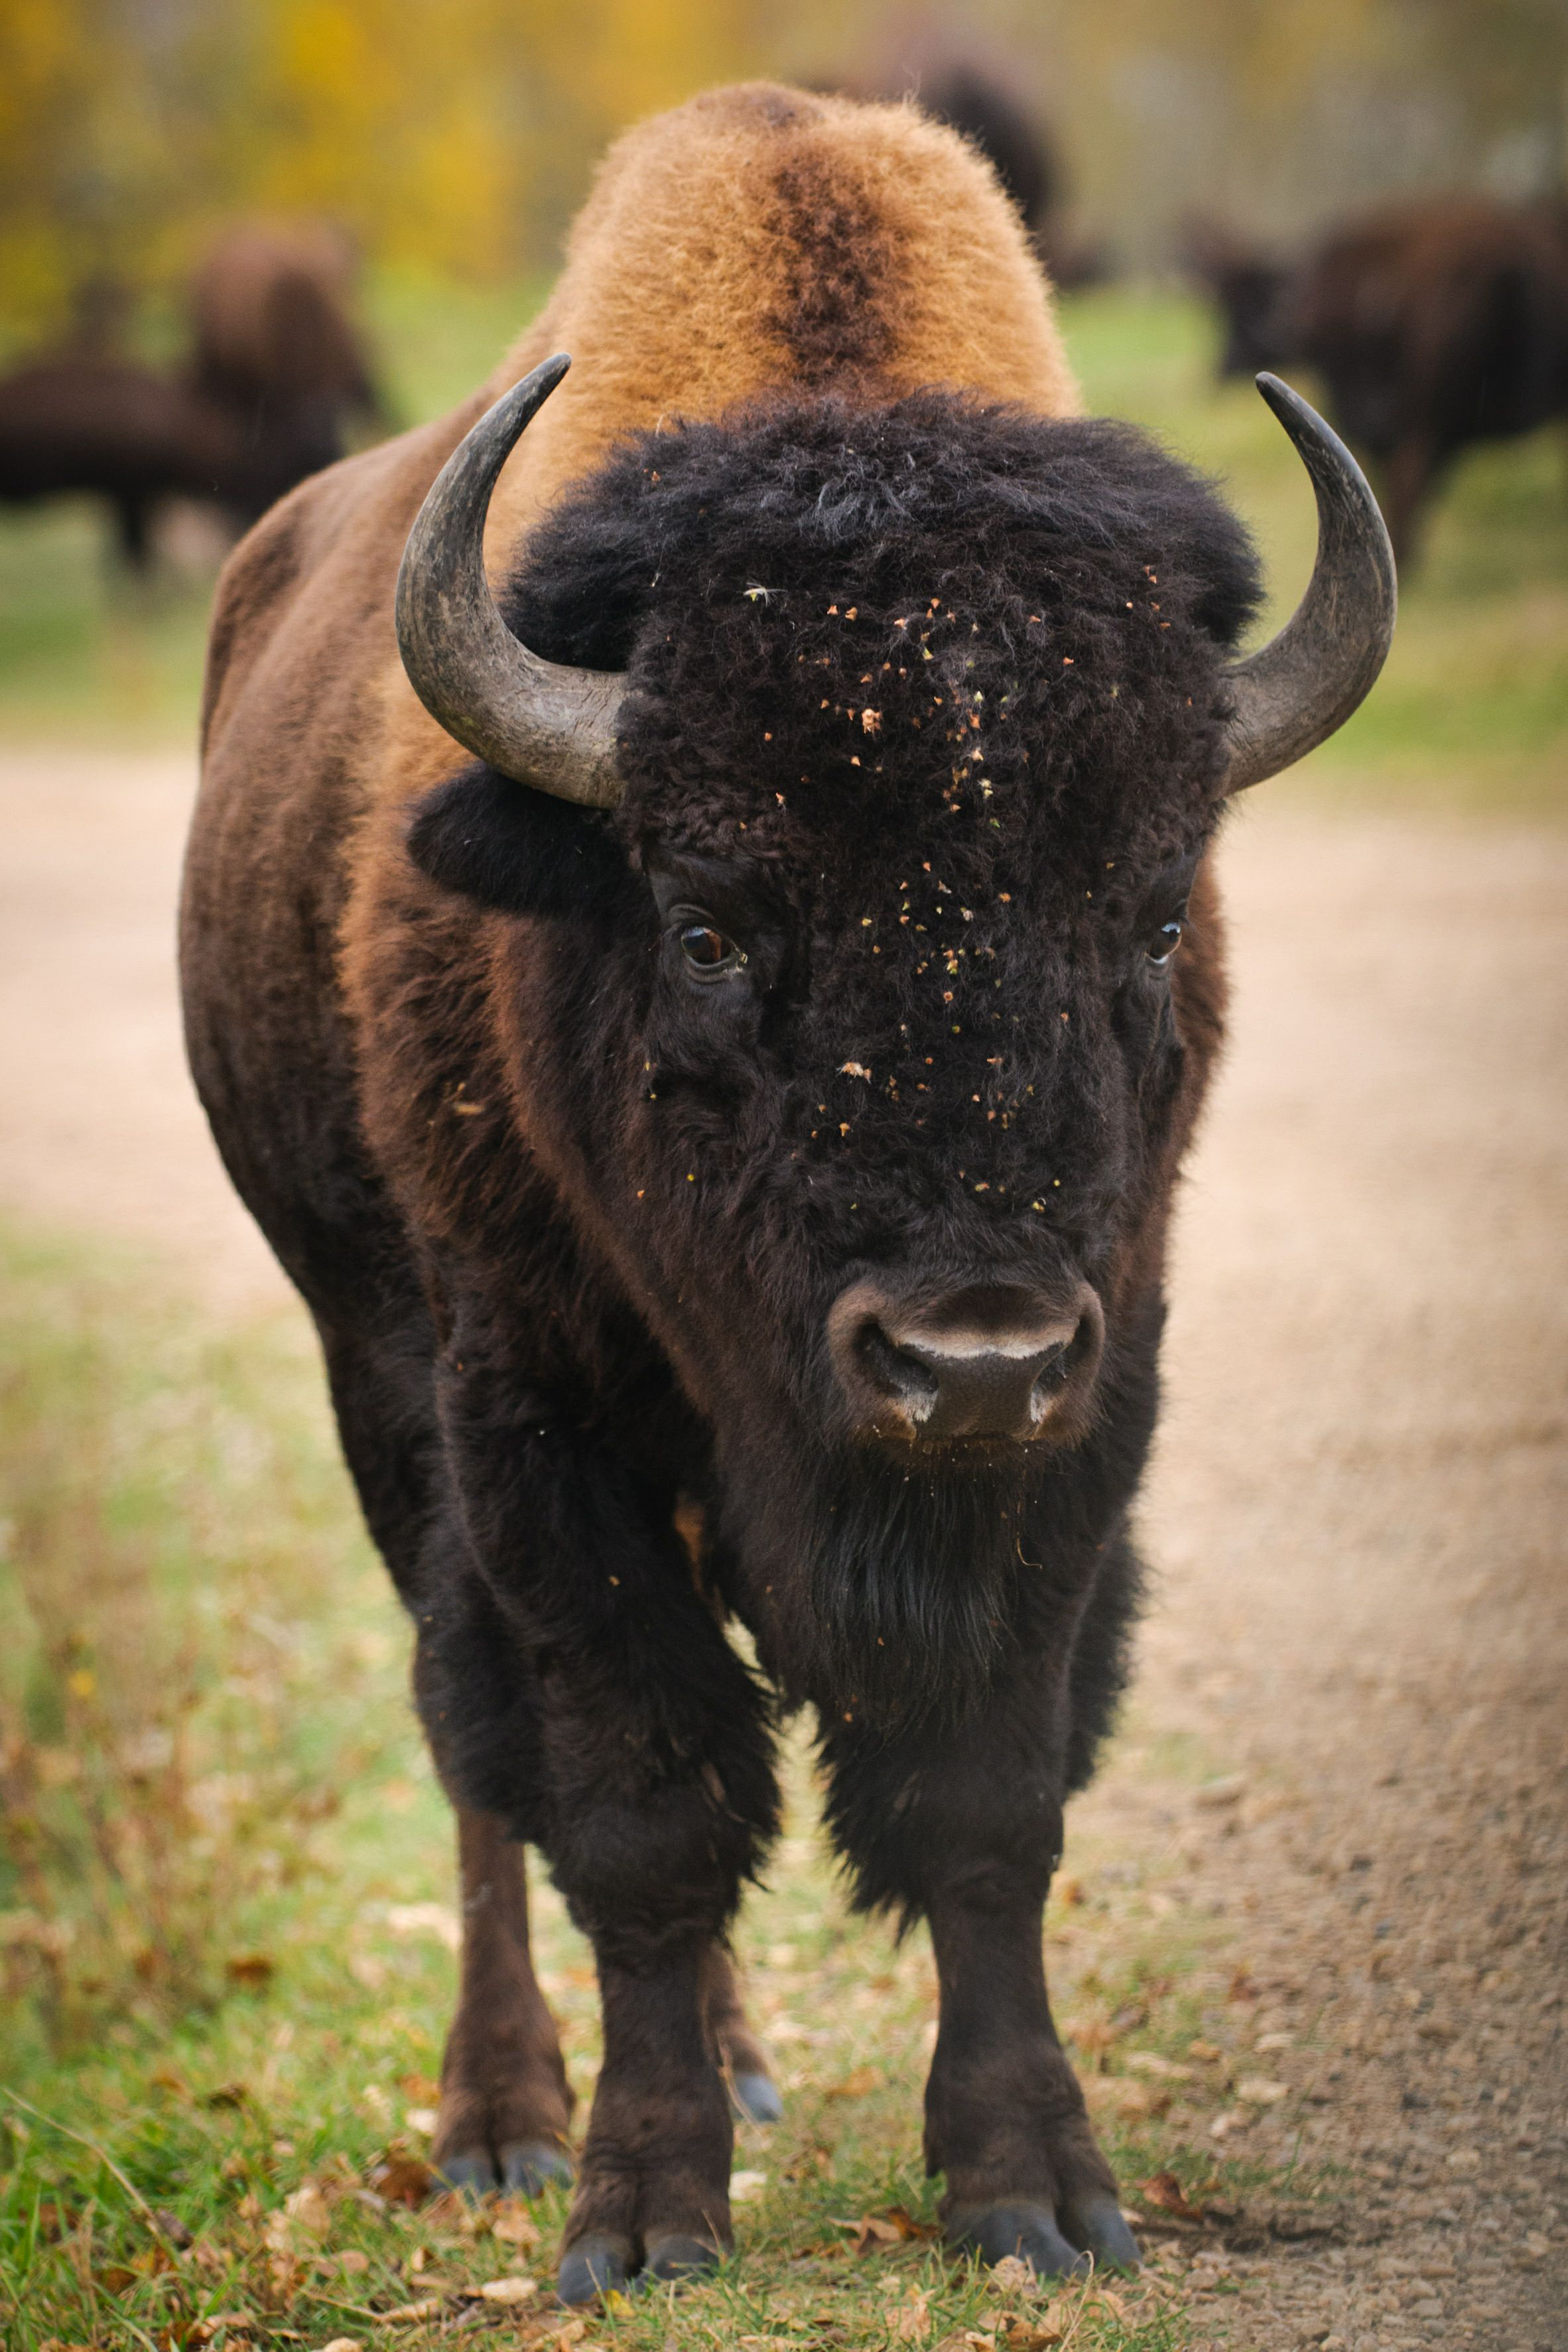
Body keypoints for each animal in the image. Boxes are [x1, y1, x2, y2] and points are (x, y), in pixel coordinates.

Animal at [182, 84, 1393, 2303]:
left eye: (1146, 915)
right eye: (708, 921)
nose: (964, 1353)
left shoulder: (1095, 1408)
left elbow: (986, 1800)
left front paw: (1034, 2195)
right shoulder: (528, 1415)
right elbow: (637, 1801)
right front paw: (637, 2219)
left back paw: (740, 2072)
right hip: (371, 1381)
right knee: (475, 1761)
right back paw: (499, 2122)